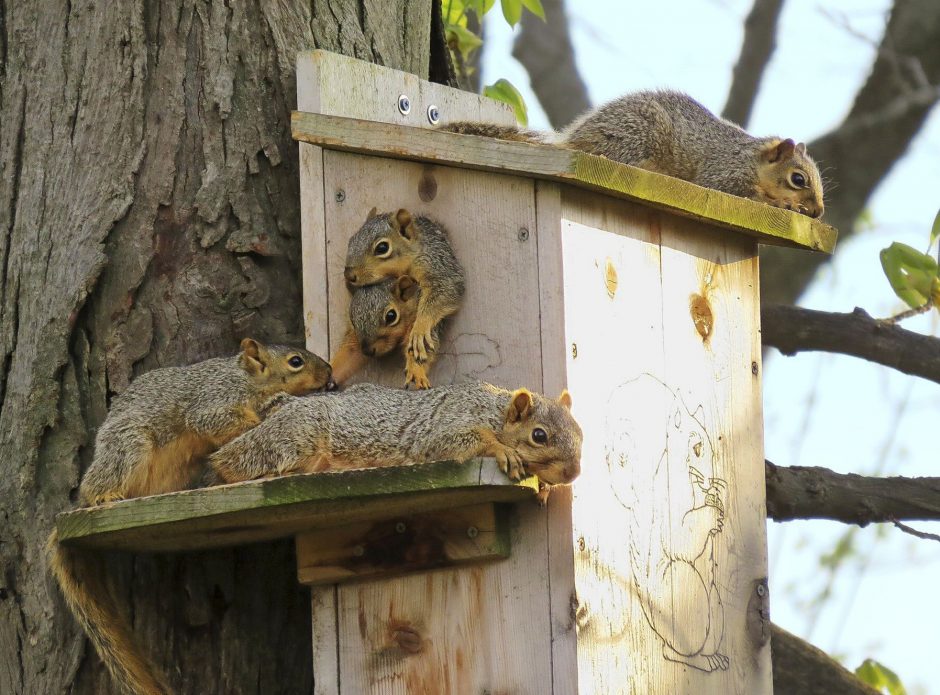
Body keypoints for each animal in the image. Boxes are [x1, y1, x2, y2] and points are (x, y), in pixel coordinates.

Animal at [47, 338, 334, 695]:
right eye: (296, 361)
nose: (330, 373)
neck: (248, 380)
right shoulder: (213, 402)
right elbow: (216, 421)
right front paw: (265, 416)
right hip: (129, 446)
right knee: (100, 481)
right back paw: (104, 496)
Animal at [210, 380, 582, 490]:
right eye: (538, 436)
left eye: (580, 434)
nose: (574, 473)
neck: (492, 411)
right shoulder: (443, 428)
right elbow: (457, 441)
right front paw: (503, 451)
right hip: (297, 437)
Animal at [335, 208, 465, 389]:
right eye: (351, 241)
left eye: (382, 248)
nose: (348, 274)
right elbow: (351, 351)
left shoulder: (435, 263)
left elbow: (446, 289)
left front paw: (420, 329)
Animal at [442, 89, 824, 218]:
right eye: (798, 179)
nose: (819, 212)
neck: (751, 158)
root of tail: (576, 143)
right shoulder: (723, 172)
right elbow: (731, 190)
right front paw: (784, 203)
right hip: (639, 135)